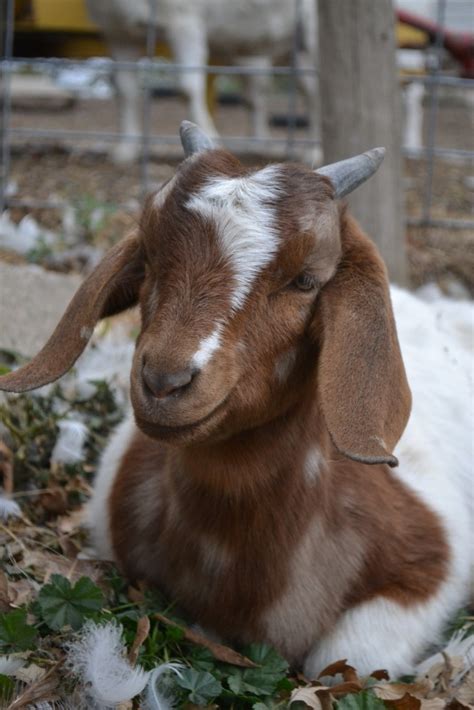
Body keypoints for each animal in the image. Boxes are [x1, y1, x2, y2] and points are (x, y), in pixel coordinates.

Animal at [85, 0, 319, 164]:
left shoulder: (184, 22)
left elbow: (186, 87)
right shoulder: (119, 34)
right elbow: (126, 91)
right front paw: (125, 149)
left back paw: (313, 153)